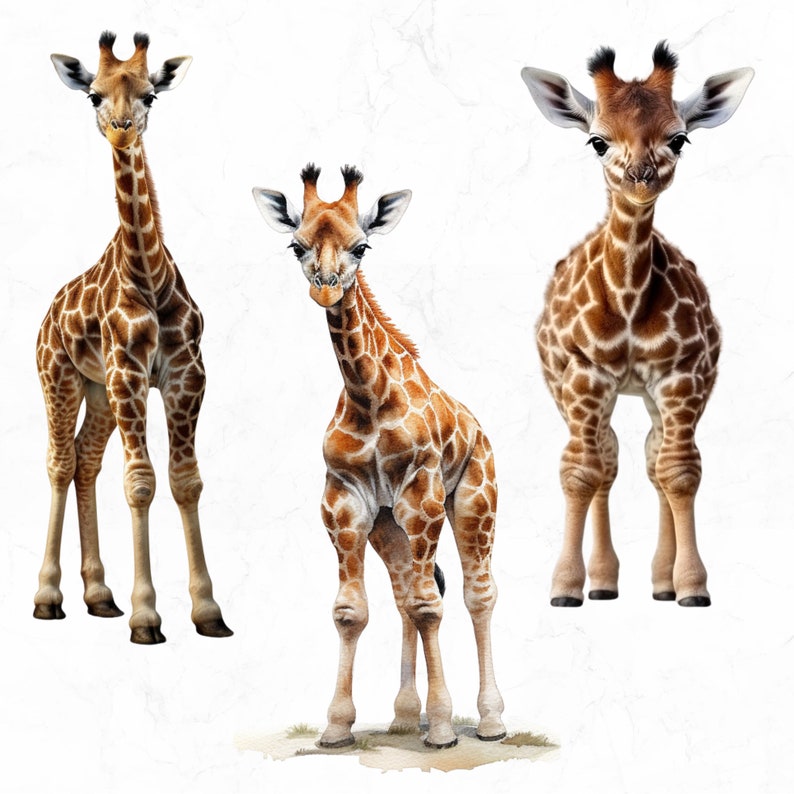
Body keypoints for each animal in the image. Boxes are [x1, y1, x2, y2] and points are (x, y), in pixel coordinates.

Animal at [33, 32, 232, 644]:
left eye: (151, 94)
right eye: (93, 95)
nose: (122, 127)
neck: (148, 274)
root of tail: (47, 315)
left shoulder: (186, 375)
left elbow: (185, 480)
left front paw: (207, 611)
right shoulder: (128, 375)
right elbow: (140, 482)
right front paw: (148, 616)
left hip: (97, 392)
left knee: (85, 459)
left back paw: (99, 596)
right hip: (60, 378)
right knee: (59, 461)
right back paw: (48, 597)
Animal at [252, 165, 505, 749]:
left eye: (361, 246)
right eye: (297, 245)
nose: (325, 287)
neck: (367, 395)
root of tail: (479, 430)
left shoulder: (423, 494)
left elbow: (431, 605)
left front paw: (443, 729)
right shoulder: (344, 502)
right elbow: (353, 611)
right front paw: (336, 726)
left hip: (473, 502)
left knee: (476, 594)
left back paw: (490, 721)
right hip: (389, 526)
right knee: (405, 595)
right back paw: (403, 717)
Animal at [520, 42, 753, 607]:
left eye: (679, 138)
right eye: (598, 140)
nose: (641, 177)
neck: (627, 300)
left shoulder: (680, 375)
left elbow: (678, 470)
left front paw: (691, 586)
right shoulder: (585, 375)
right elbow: (583, 470)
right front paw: (565, 587)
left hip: (660, 392)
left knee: (652, 457)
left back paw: (659, 583)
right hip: (567, 388)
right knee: (606, 458)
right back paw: (604, 583)